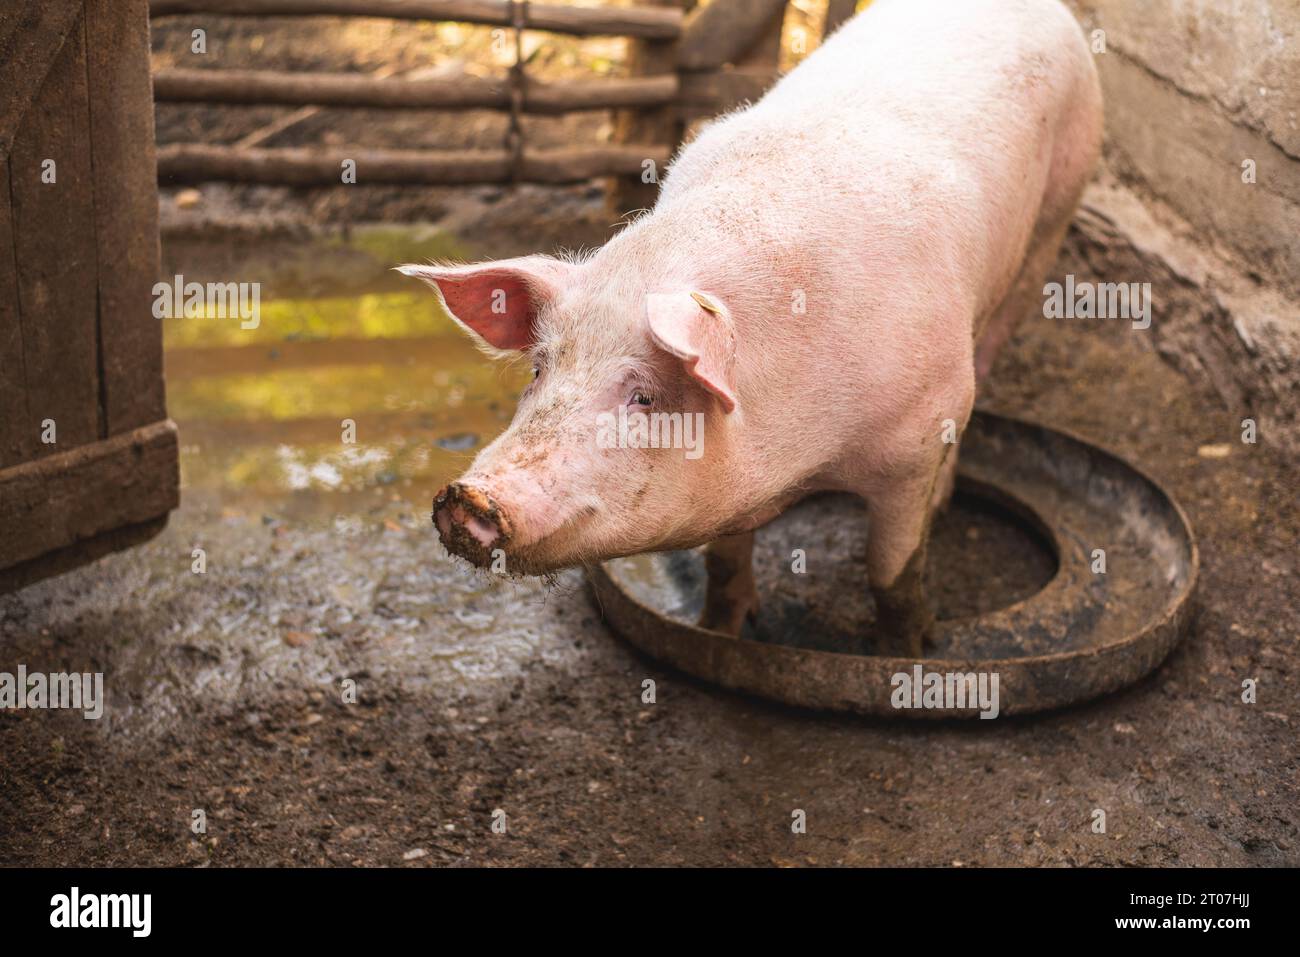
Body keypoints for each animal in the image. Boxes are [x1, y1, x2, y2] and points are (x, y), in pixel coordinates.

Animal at [402, 0, 1103, 657]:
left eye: (644, 396)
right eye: (540, 369)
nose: (467, 498)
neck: (806, 448)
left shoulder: (917, 438)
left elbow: (891, 575)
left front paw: (905, 654)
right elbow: (724, 560)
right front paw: (720, 632)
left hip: (1058, 205)